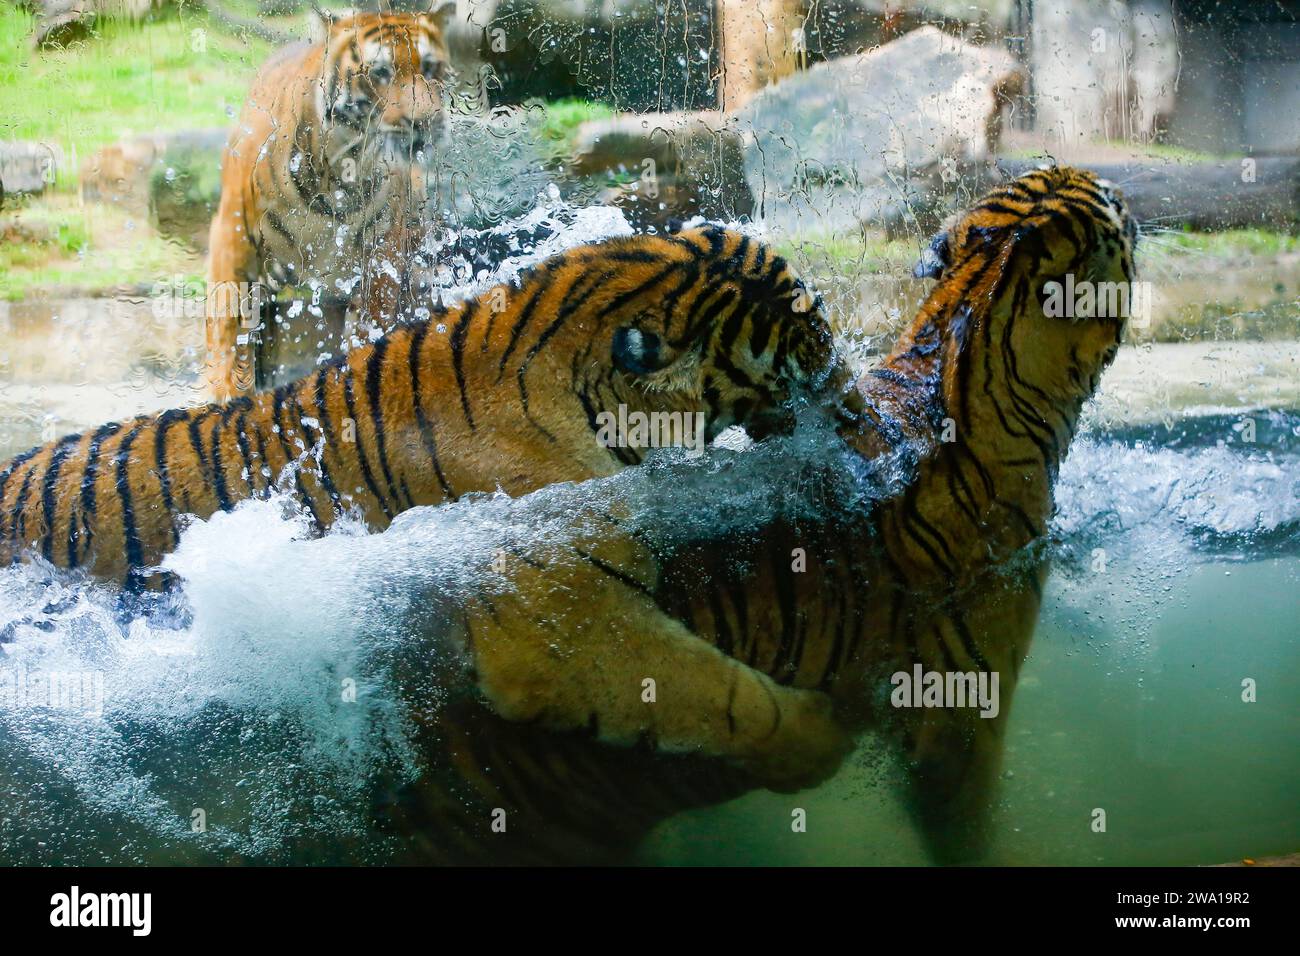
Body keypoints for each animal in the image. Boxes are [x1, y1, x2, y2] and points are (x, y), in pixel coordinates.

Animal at [205, 4, 456, 402]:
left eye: (431, 68)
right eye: (381, 72)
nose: (424, 123)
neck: (341, 169)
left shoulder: (382, 245)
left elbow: (372, 320)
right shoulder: (234, 232)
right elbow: (226, 323)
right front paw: (225, 394)